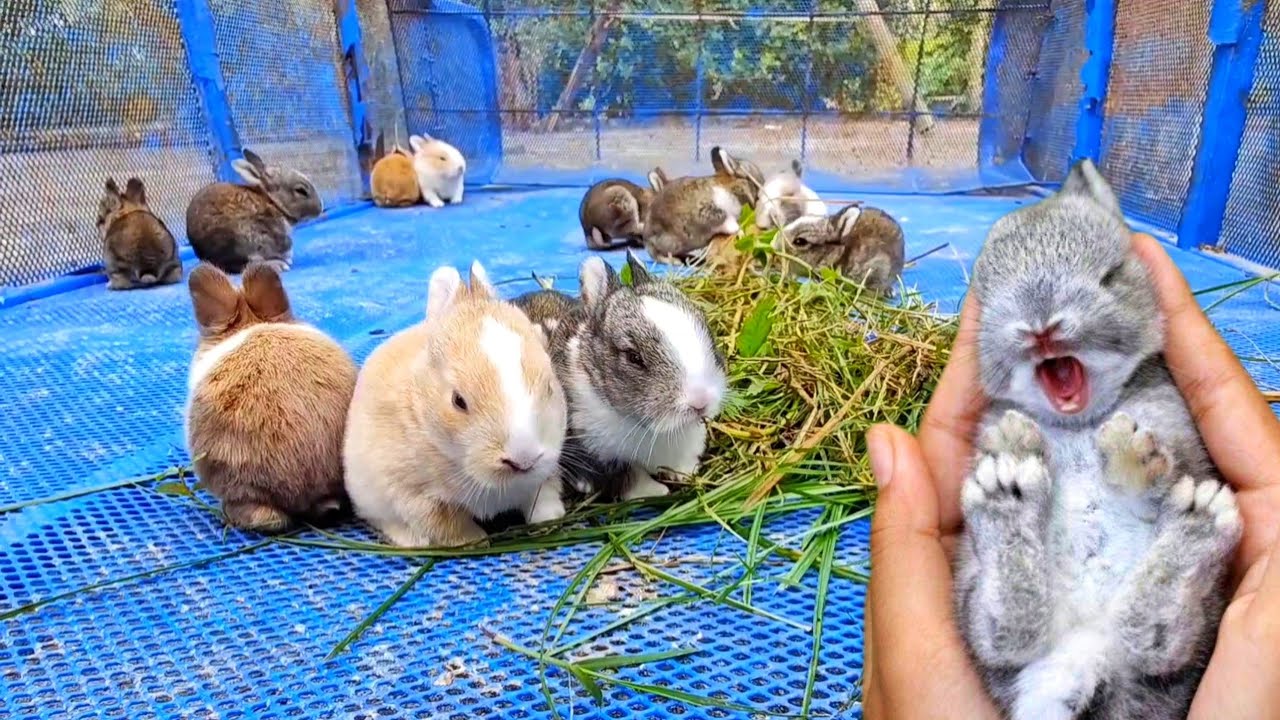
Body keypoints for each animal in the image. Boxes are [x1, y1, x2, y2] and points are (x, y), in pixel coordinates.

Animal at [343, 261, 569, 547]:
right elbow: (447, 525)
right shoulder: (416, 497)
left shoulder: (545, 473)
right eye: (458, 401)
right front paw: (477, 540)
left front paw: (549, 519)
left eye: (550, 387)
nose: (523, 459)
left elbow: (542, 498)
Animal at [511, 251, 728, 502]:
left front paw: (685, 472)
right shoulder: (601, 457)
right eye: (634, 357)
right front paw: (656, 491)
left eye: (705, 325)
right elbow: (630, 479)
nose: (700, 402)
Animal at [953, 159, 1240, 720]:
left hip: (1199, 628)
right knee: (1006, 635)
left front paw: (1130, 452)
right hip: (972, 599)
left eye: (1111, 277)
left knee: (1156, 642)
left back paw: (1197, 521)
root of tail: (1079, 662)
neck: (1081, 422)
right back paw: (1005, 493)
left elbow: (1159, 476)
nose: (1041, 328)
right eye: (986, 297)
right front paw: (1012, 438)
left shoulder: (1180, 442)